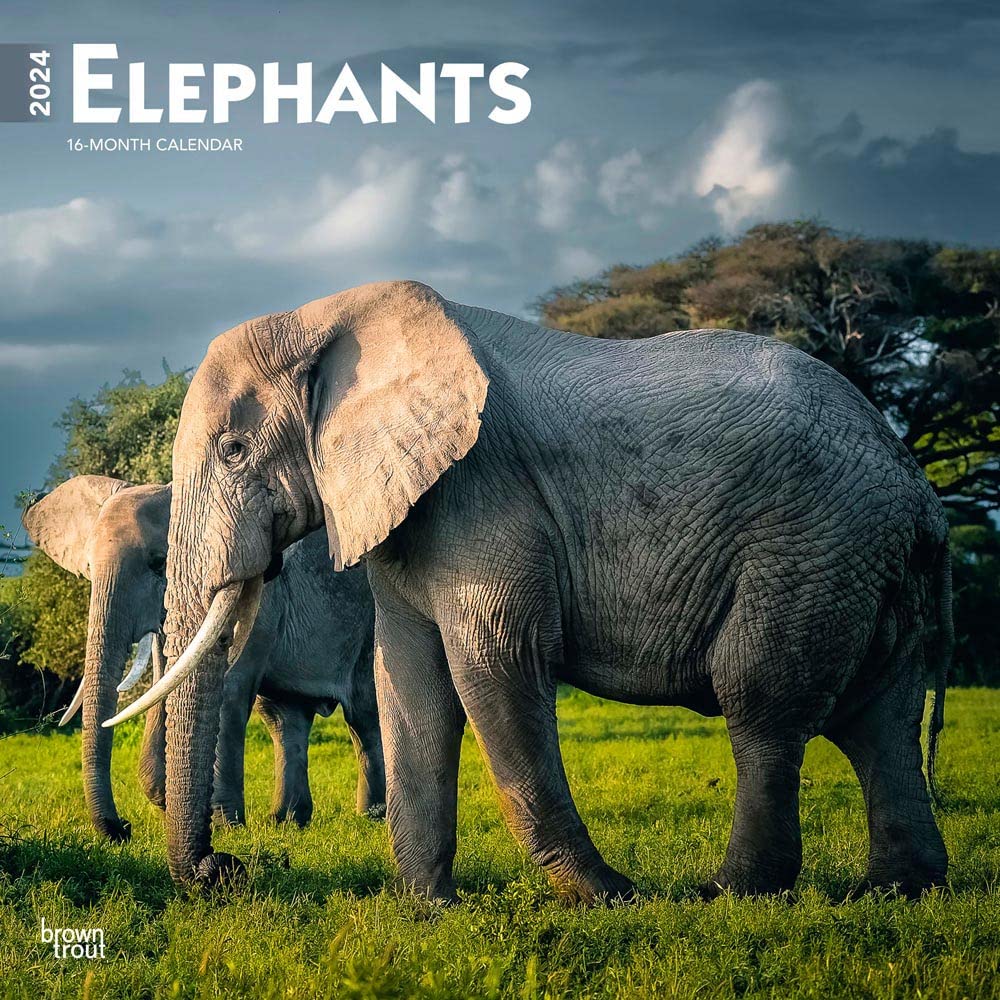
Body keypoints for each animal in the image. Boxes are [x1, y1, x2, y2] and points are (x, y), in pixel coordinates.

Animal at [22, 476, 383, 841]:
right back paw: (287, 821)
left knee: (363, 713)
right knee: (285, 717)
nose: (123, 829)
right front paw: (167, 800)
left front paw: (225, 824)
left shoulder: (255, 594)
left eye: (159, 563)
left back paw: (371, 816)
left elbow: (227, 688)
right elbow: (167, 683)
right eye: (88, 568)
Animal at [109, 280, 951, 901]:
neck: (325, 317)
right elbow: (409, 680)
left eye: (232, 449)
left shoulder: (483, 489)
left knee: (764, 706)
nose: (224, 870)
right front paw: (432, 909)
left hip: (808, 548)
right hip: (856, 560)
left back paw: (731, 894)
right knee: (881, 719)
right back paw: (898, 892)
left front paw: (609, 898)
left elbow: (496, 667)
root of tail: (916, 484)